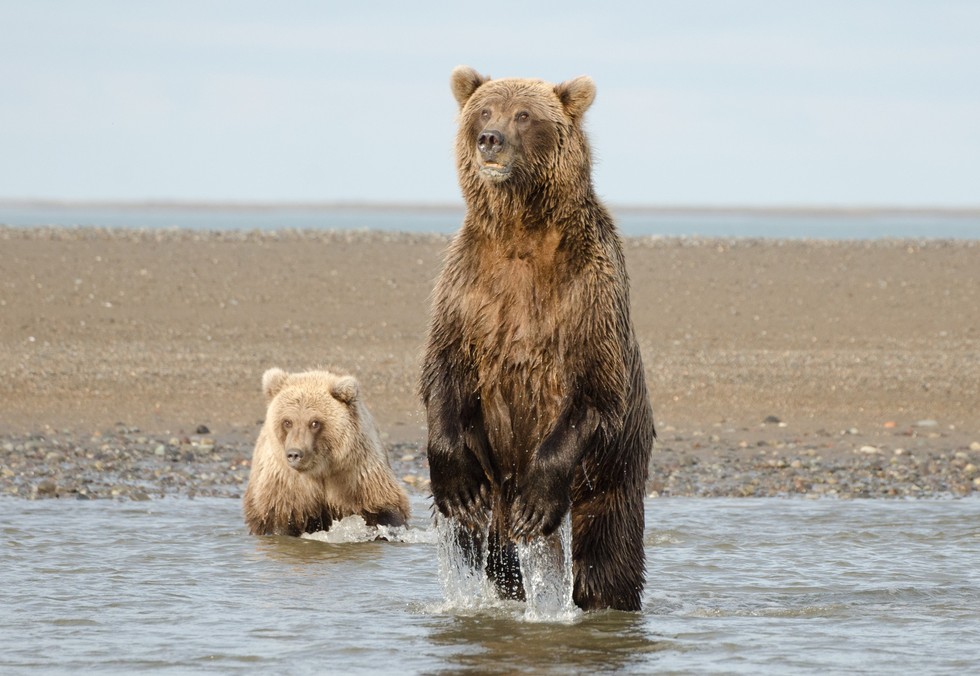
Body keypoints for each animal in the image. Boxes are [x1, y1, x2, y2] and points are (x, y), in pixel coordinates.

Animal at [243, 367, 410, 536]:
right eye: (287, 422)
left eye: (314, 423)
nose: (294, 454)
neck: (321, 468)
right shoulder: (285, 482)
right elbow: (280, 517)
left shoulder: (356, 472)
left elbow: (383, 505)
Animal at [419, 66, 656, 611]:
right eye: (485, 110)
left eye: (524, 115)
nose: (490, 139)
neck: (520, 234)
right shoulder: (467, 289)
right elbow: (444, 368)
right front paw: (456, 488)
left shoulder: (588, 297)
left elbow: (594, 391)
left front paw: (537, 505)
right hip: (495, 475)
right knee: (491, 552)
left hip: (613, 476)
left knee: (605, 554)